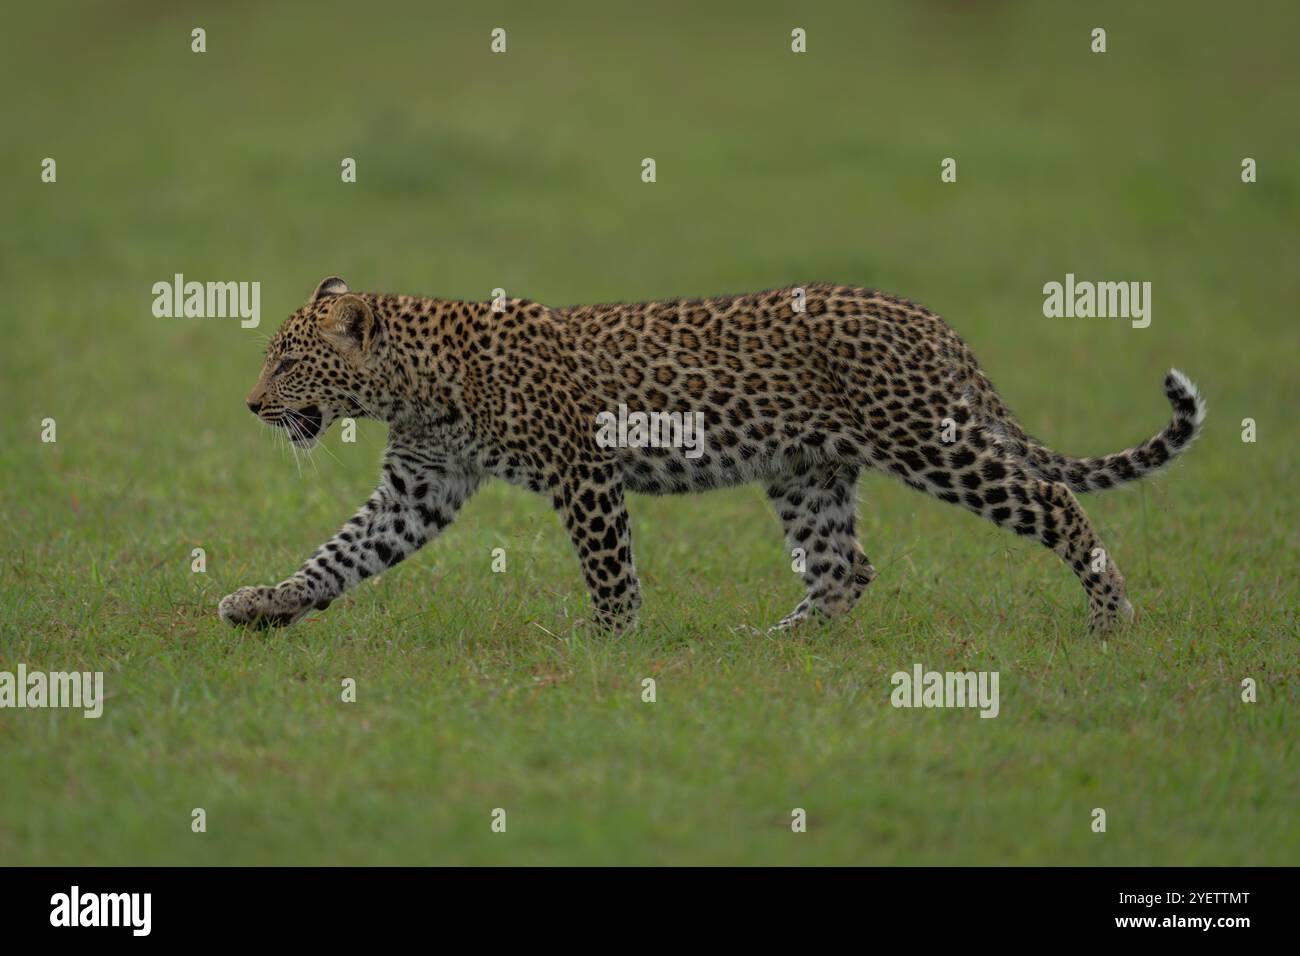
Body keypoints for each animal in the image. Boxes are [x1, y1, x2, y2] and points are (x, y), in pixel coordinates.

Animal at [219, 276, 1205, 635]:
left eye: (288, 361)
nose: (252, 404)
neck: (412, 380)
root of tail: (933, 321)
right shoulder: (420, 485)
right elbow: (340, 553)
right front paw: (266, 605)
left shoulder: (583, 468)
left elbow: (608, 565)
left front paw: (610, 644)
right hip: (807, 470)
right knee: (846, 567)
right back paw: (781, 647)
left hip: (932, 441)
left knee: (1057, 503)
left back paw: (1108, 616)